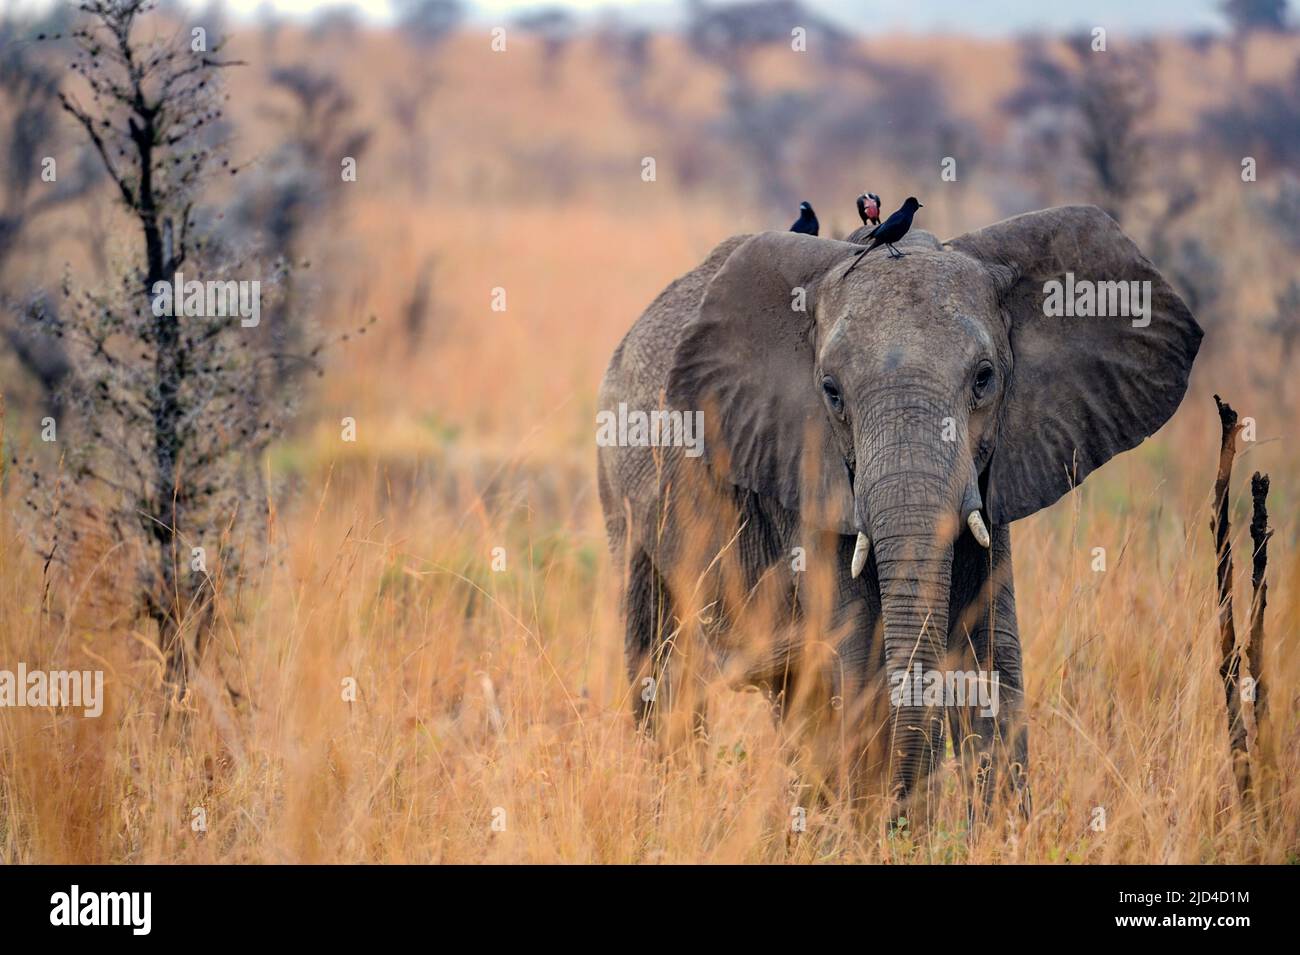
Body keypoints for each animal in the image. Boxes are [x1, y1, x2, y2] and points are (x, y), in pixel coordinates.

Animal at [596, 205, 1202, 811]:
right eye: (831, 392)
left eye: (984, 379)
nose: (904, 812)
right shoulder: (808, 478)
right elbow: (861, 655)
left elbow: (989, 653)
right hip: (623, 495)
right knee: (662, 668)